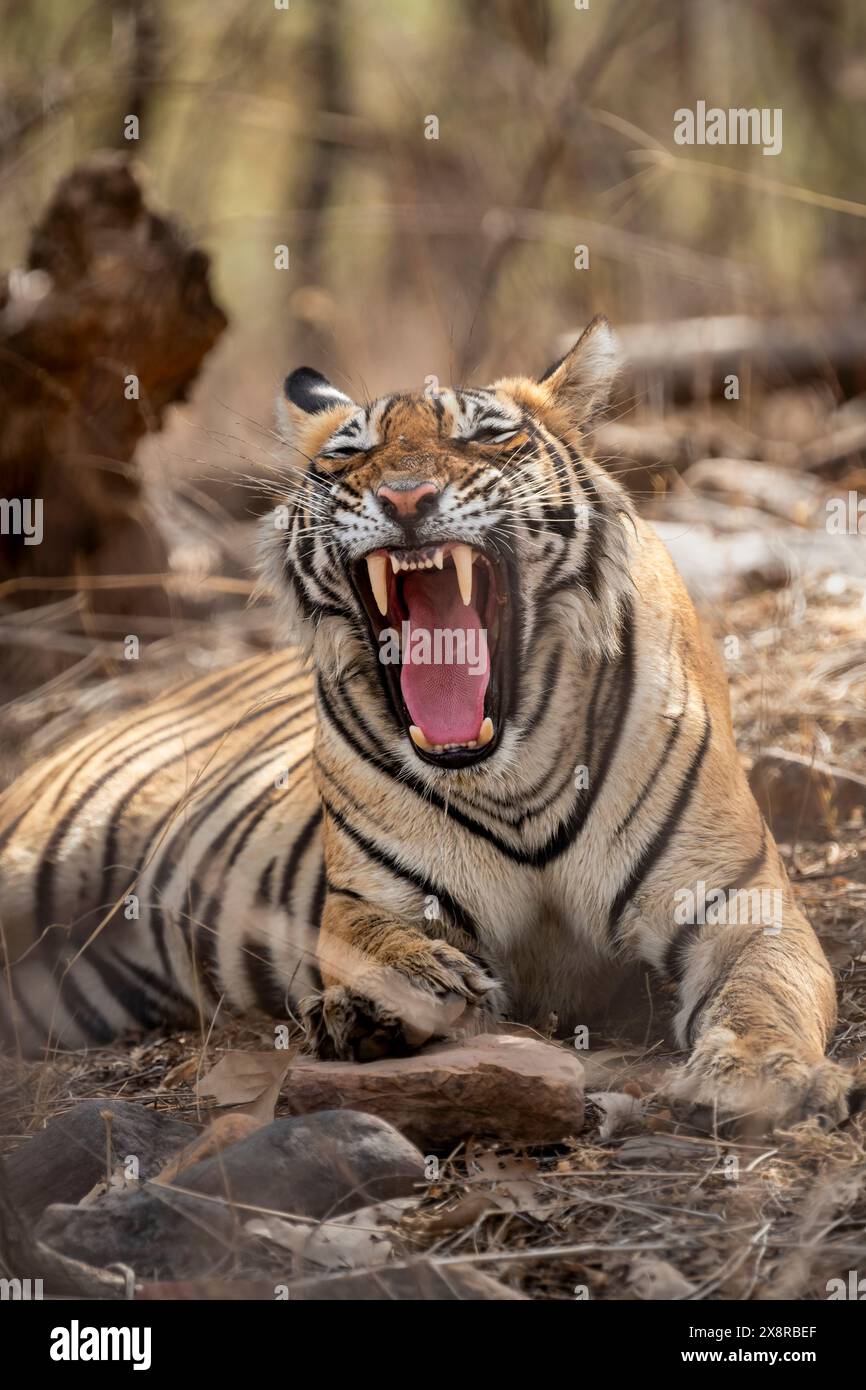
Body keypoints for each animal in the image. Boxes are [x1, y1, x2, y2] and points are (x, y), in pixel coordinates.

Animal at [0, 315, 851, 1127]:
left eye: (484, 436)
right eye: (351, 453)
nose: (406, 499)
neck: (514, 775)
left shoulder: (740, 900)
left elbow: (762, 992)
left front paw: (756, 1075)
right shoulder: (368, 901)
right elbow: (369, 940)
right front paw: (392, 994)